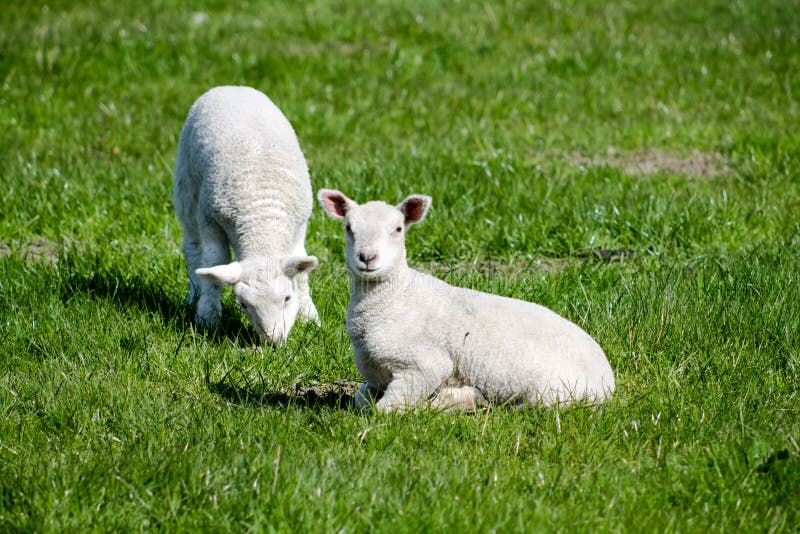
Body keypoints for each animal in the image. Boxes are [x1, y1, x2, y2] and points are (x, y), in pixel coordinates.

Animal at [174, 86, 319, 345]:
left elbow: (301, 271)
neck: (261, 220)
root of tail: (229, 87)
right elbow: (213, 260)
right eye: (243, 305)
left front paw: (309, 317)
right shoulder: (210, 220)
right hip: (186, 189)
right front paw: (207, 317)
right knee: (193, 249)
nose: (273, 342)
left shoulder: (299, 226)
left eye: (287, 298)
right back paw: (195, 296)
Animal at [317, 189, 615, 412]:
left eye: (398, 229)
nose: (367, 257)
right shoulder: (376, 377)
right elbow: (360, 400)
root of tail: (608, 382)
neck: (395, 299)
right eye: (348, 228)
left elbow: (384, 411)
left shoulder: (422, 366)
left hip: (552, 393)